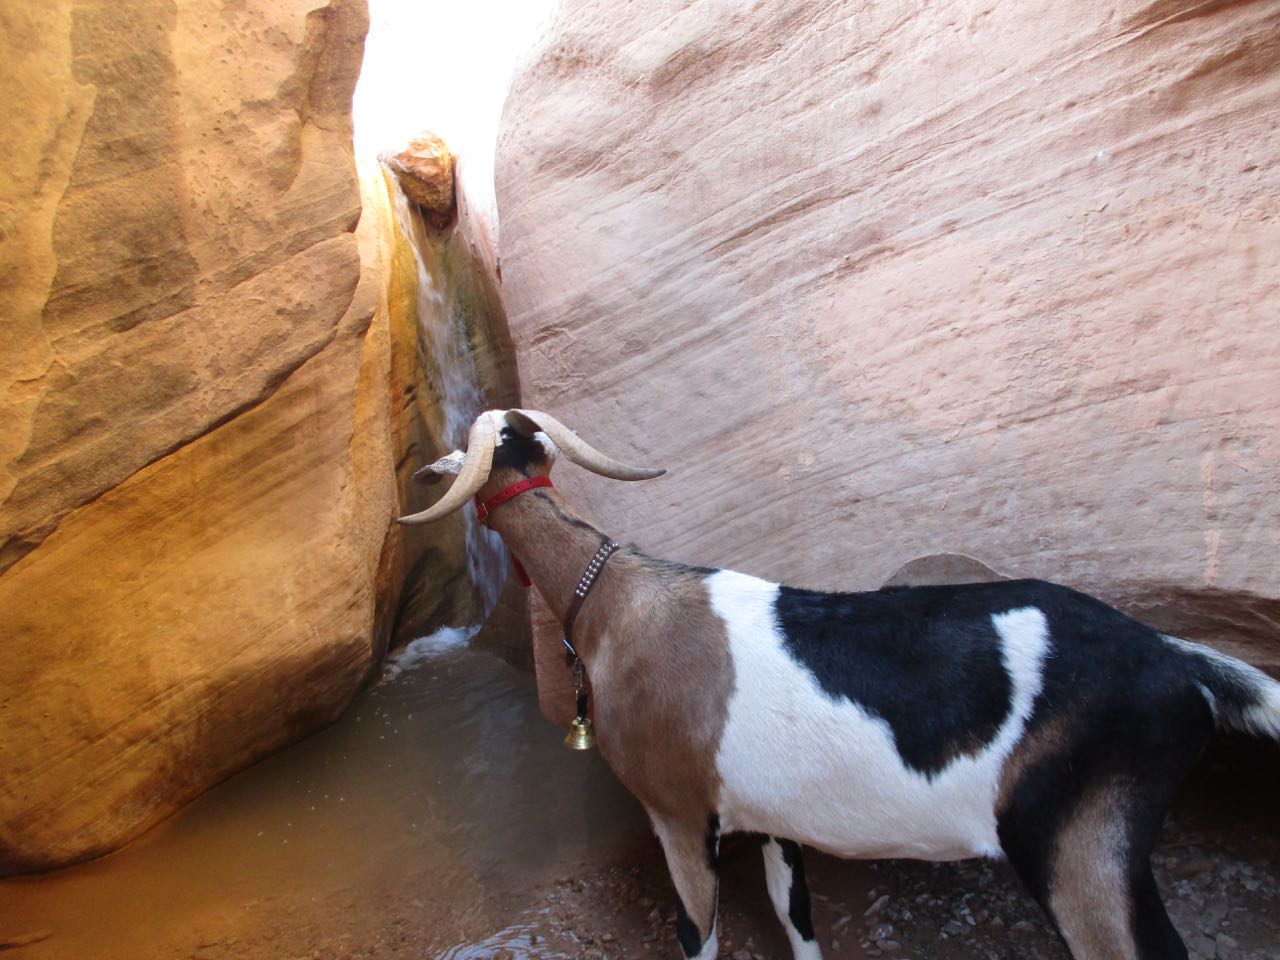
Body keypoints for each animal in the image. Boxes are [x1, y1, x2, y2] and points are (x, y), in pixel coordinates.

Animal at [399, 408, 1280, 960]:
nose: (429, 470)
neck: (619, 597)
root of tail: (1181, 663)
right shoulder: (775, 822)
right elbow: (797, 923)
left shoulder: (680, 815)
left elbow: (699, 936)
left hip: (1079, 842)